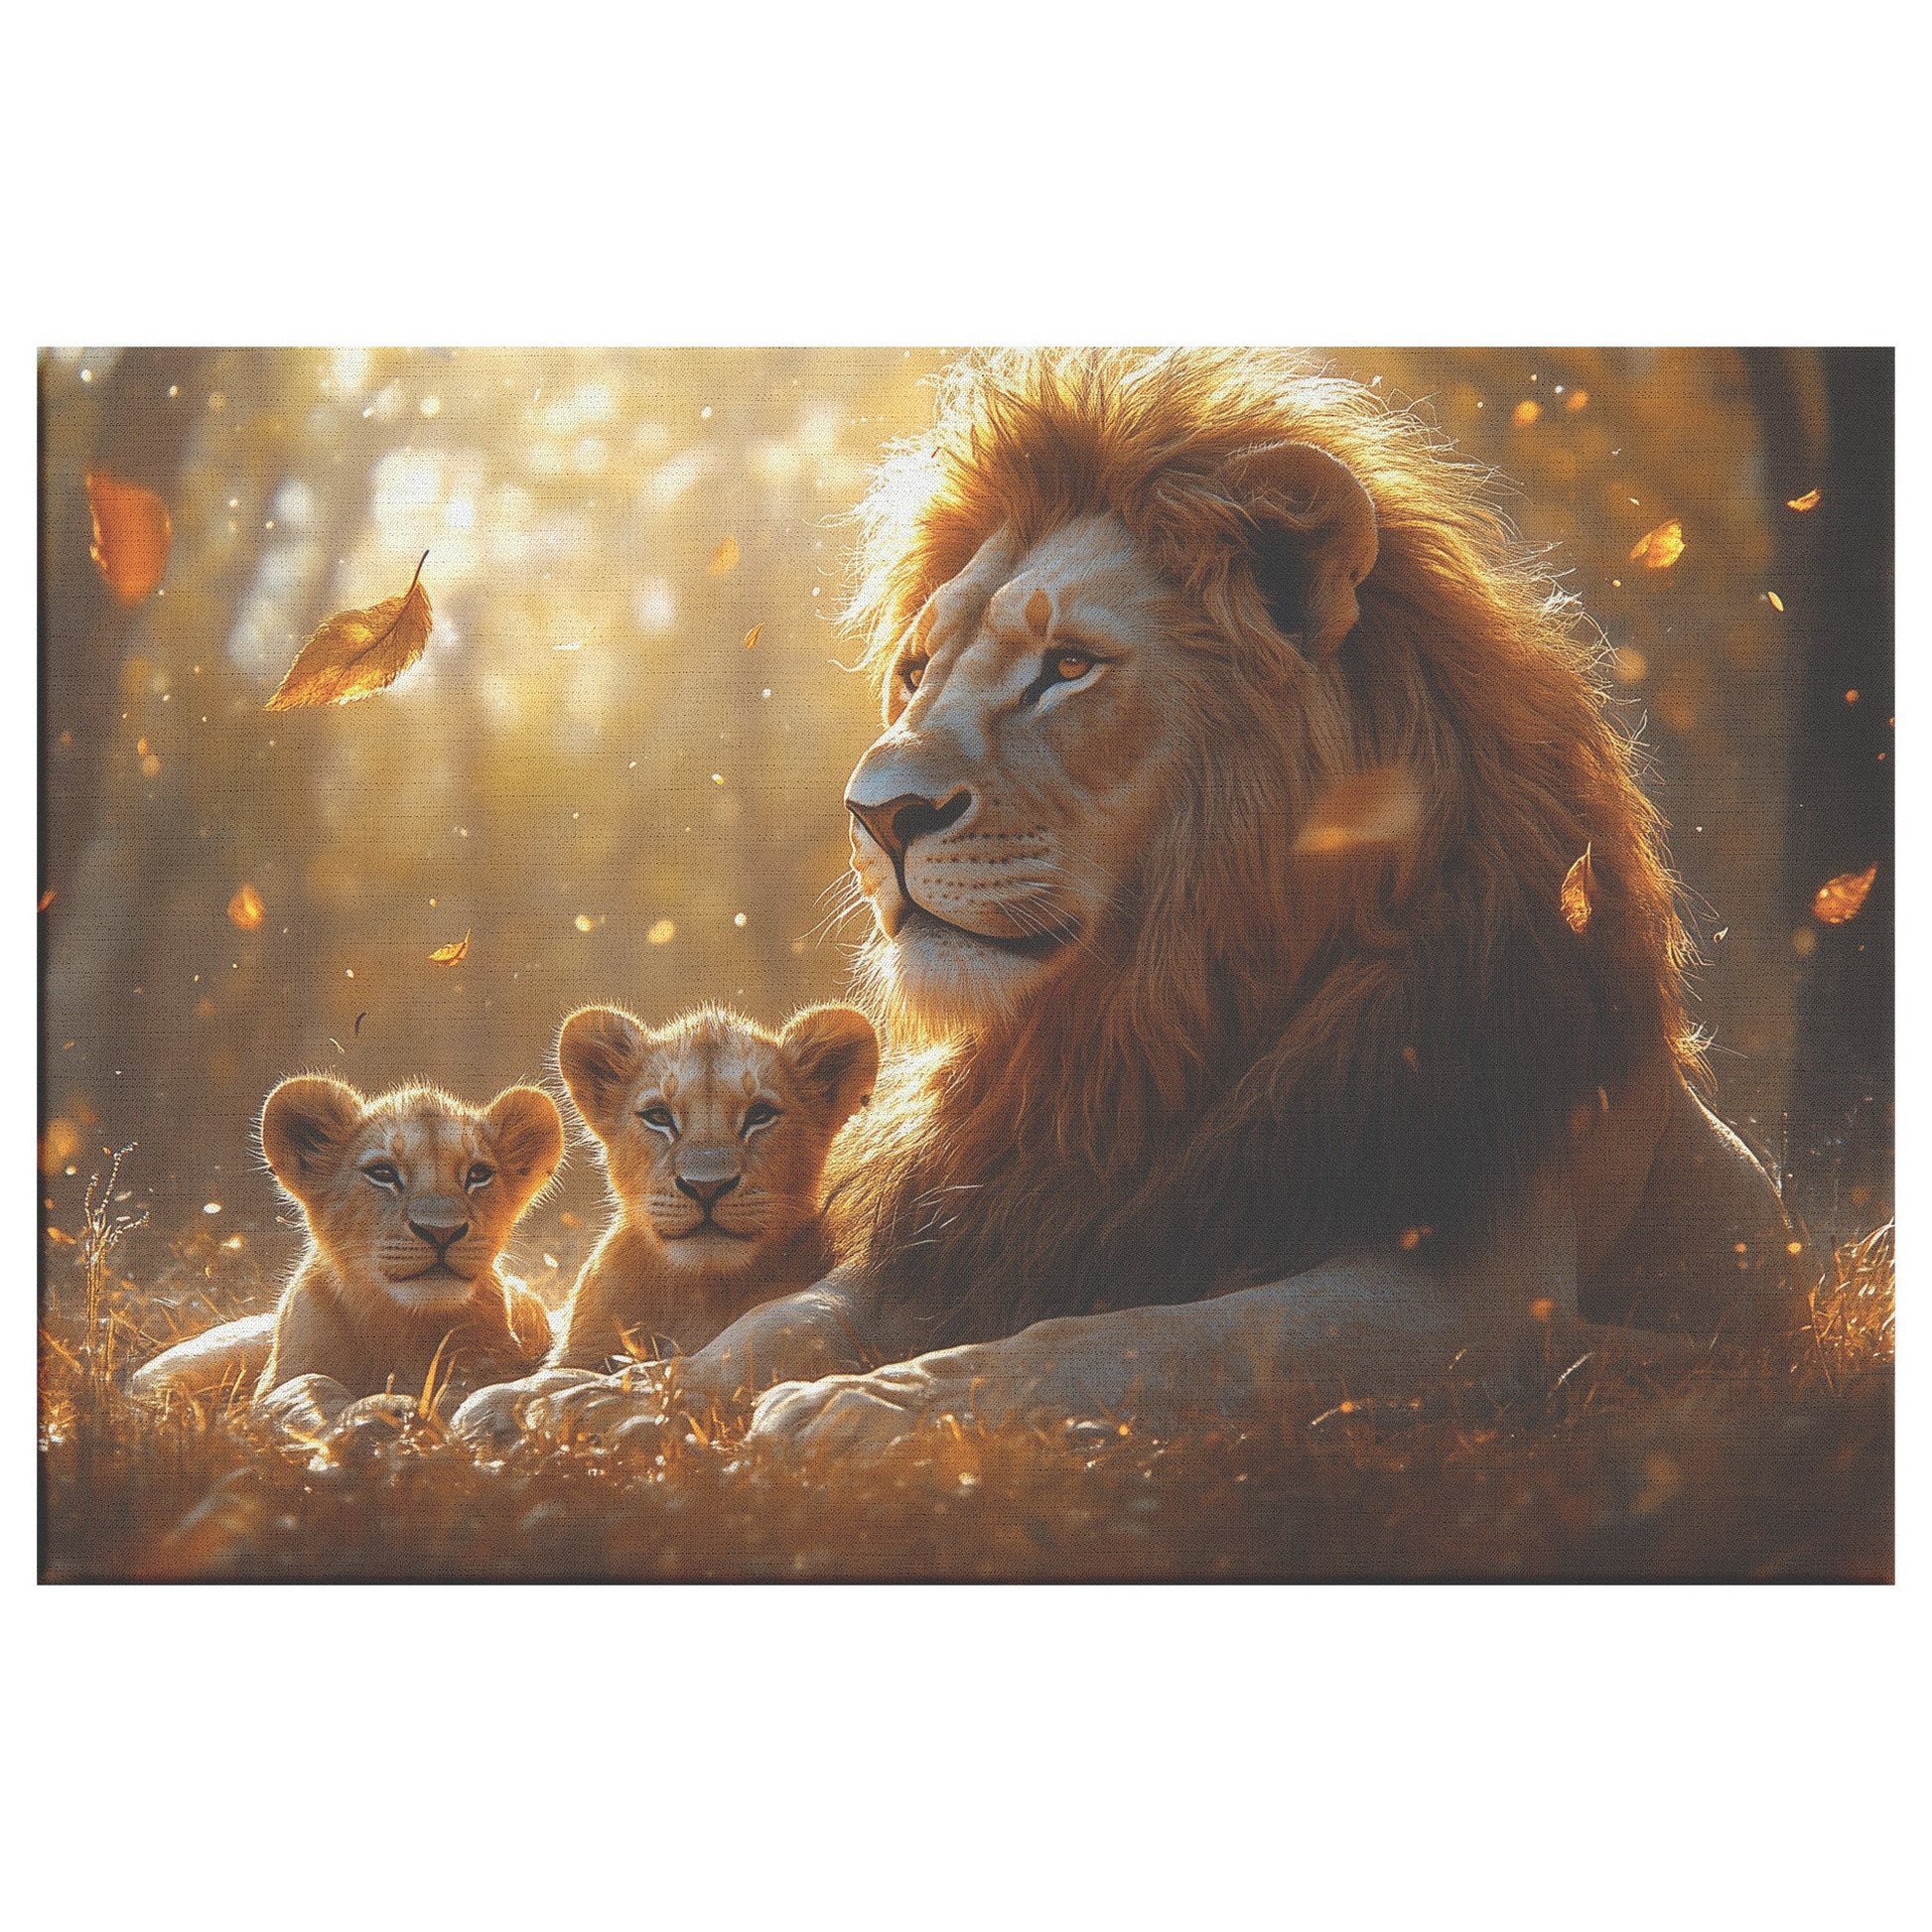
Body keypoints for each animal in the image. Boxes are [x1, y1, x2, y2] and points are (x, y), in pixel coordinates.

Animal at [131, 1077, 564, 1433]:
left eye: (478, 1174)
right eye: (383, 1173)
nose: (441, 1231)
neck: (401, 1324)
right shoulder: (273, 1384)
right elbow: (302, 1387)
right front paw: (378, 1412)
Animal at [526, 346, 1803, 1458]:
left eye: (1066, 667)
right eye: (914, 671)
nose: (874, 815)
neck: (1147, 1023)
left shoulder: (1483, 1304)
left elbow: (1133, 1337)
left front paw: (875, 1403)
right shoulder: (990, 1220)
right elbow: (779, 1318)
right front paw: (594, 1400)